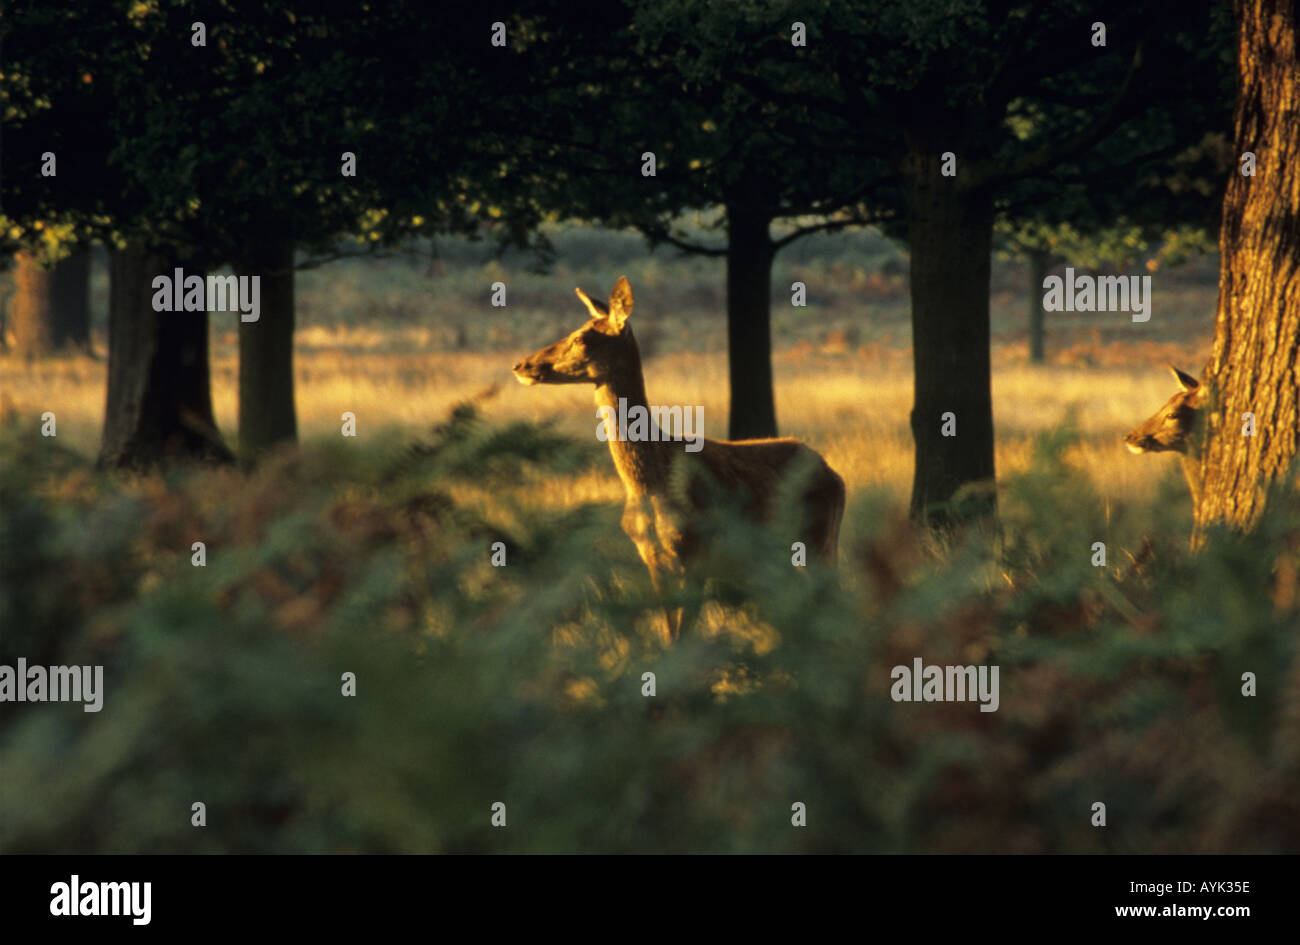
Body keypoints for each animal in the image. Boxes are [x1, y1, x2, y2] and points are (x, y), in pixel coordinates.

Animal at [512, 276, 846, 644]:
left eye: (581, 338)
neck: (649, 483)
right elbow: (669, 634)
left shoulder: (694, 550)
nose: (521, 365)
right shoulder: (653, 558)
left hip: (820, 538)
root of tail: (835, 475)